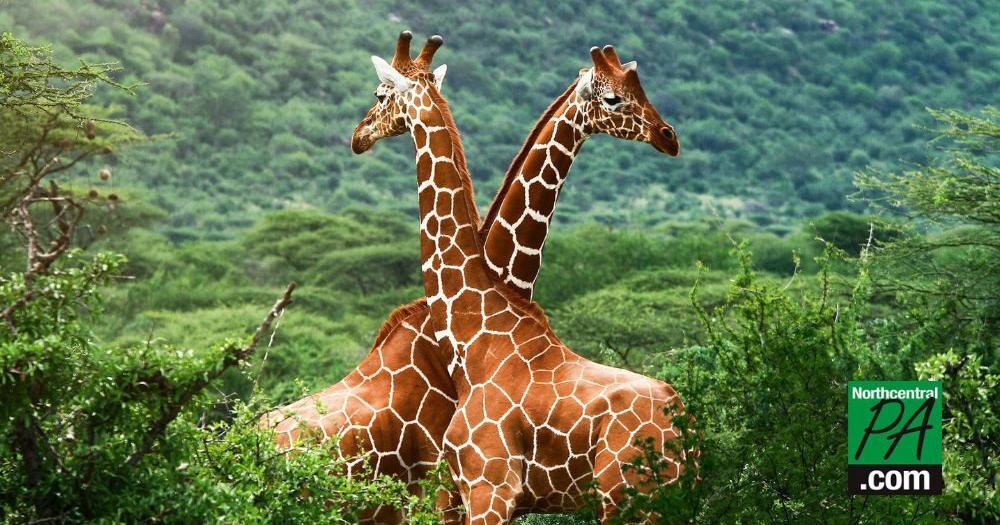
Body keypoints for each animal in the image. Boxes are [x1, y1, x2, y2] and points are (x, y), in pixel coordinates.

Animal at [348, 34, 690, 524]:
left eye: (380, 94)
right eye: (615, 97)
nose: (359, 135)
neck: (476, 331)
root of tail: (687, 430)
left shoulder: (486, 486)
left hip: (628, 500)